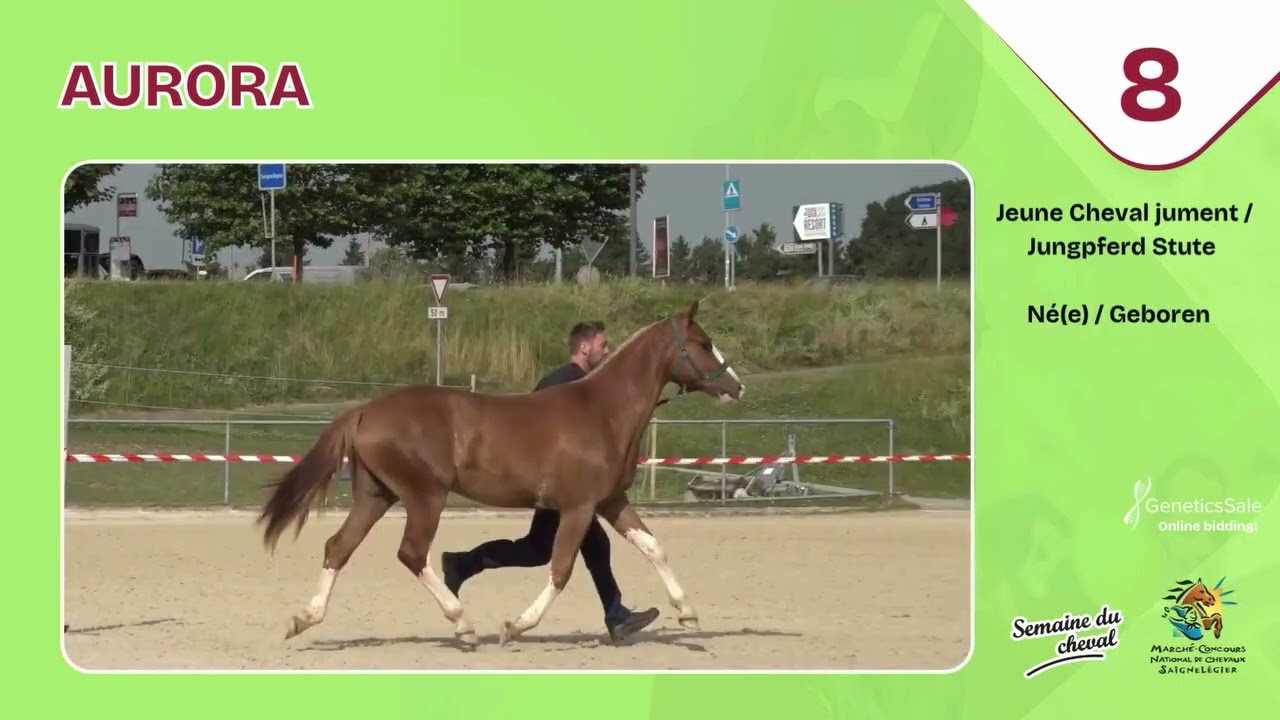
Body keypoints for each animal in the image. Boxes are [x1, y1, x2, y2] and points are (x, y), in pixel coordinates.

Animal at [257, 299, 745, 646]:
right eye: (704, 343)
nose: (736, 386)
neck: (603, 411)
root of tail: (363, 412)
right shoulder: (579, 506)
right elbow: (562, 568)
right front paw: (515, 626)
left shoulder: (609, 501)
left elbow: (651, 547)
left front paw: (684, 613)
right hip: (424, 497)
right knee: (412, 553)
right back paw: (463, 624)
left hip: (375, 495)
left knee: (338, 547)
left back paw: (304, 619)